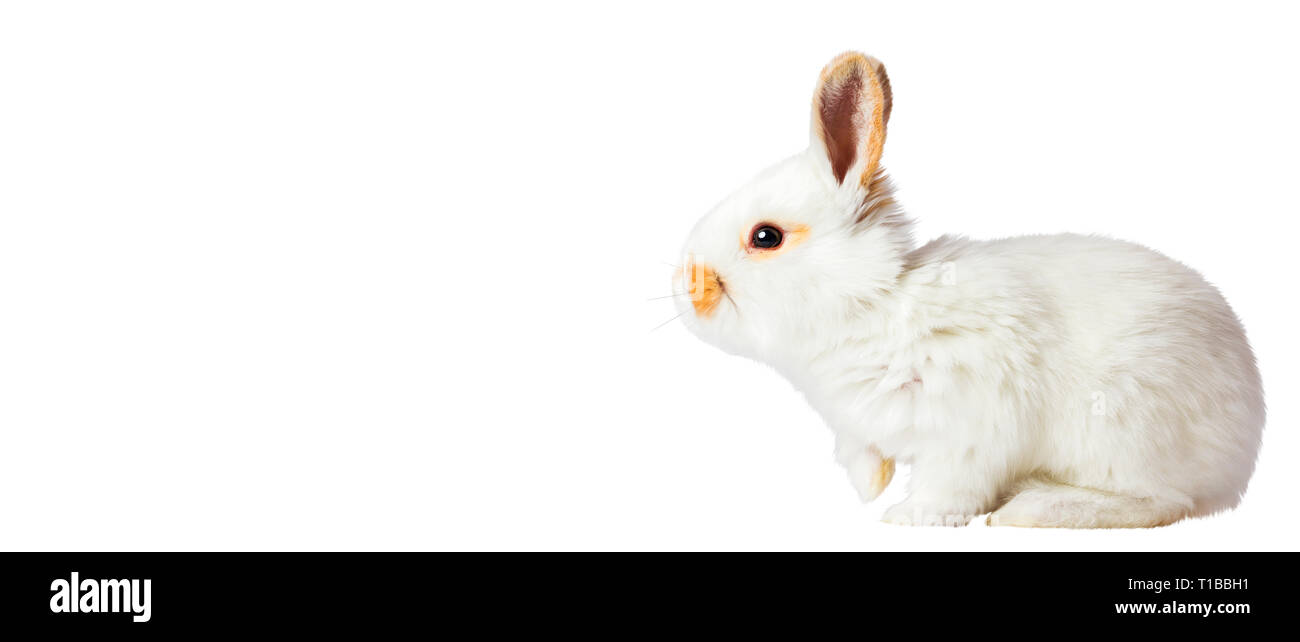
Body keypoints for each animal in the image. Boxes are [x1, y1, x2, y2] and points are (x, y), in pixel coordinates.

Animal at [673, 52, 1264, 528]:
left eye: (765, 237)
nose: (688, 287)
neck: (874, 304)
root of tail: (1242, 452)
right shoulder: (859, 429)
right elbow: (864, 454)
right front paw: (870, 488)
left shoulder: (968, 430)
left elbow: (948, 487)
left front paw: (909, 518)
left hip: (1122, 430)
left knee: (1162, 501)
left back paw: (1029, 509)